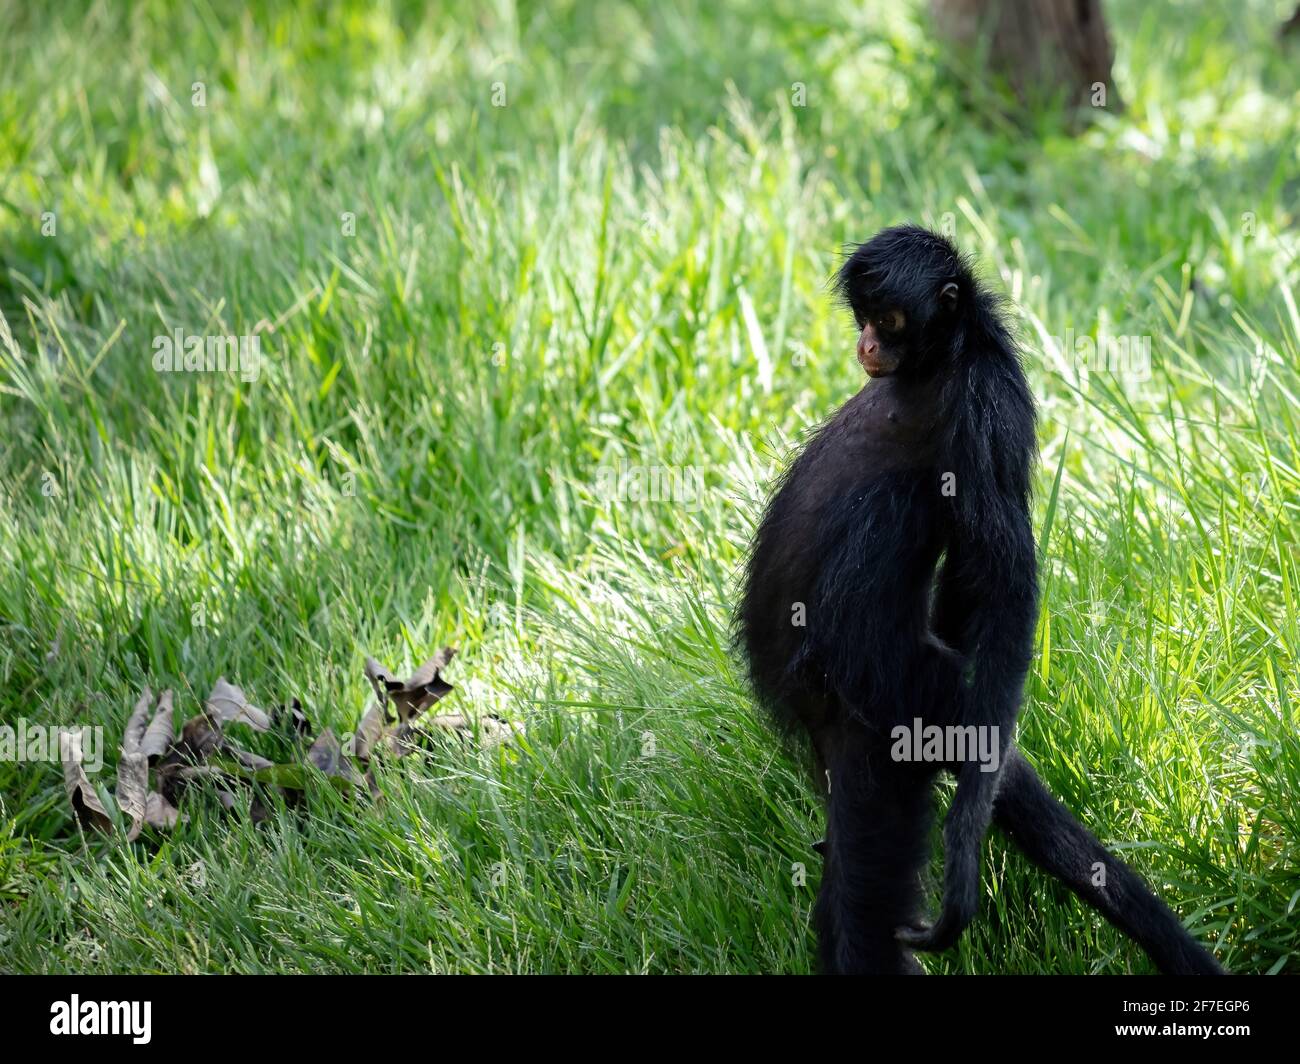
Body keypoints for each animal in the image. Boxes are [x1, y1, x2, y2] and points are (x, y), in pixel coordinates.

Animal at [735, 225, 1224, 975]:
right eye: (864, 315)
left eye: (890, 320)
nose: (868, 346)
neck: (948, 359)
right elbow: (972, 587)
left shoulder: (986, 407)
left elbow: (1003, 584)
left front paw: (962, 853)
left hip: (885, 721)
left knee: (861, 907)